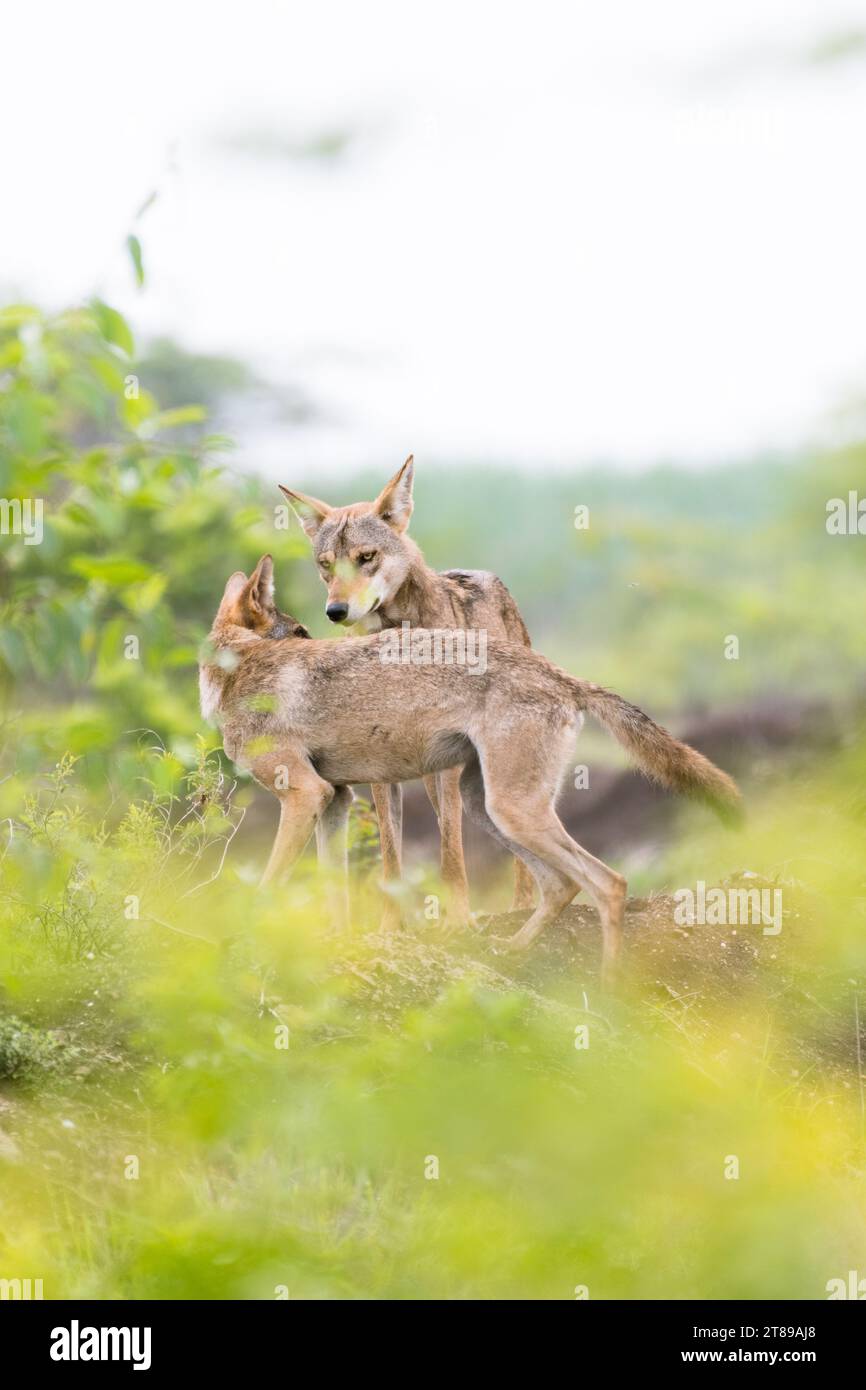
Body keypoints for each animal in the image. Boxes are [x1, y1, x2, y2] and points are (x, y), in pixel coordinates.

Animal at [200, 555, 741, 984]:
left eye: (302, 636)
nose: (322, 630)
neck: (237, 670)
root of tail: (559, 673)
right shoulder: (337, 800)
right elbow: (336, 894)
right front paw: (335, 944)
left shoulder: (305, 794)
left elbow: (270, 882)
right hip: (487, 808)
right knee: (562, 886)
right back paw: (508, 955)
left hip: (510, 811)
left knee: (609, 884)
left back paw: (607, 989)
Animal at [278, 455, 535, 927]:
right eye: (326, 565)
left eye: (366, 557)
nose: (335, 610)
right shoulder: (378, 769)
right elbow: (391, 859)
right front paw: (389, 927)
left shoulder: (446, 771)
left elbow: (451, 854)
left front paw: (458, 923)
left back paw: (522, 907)